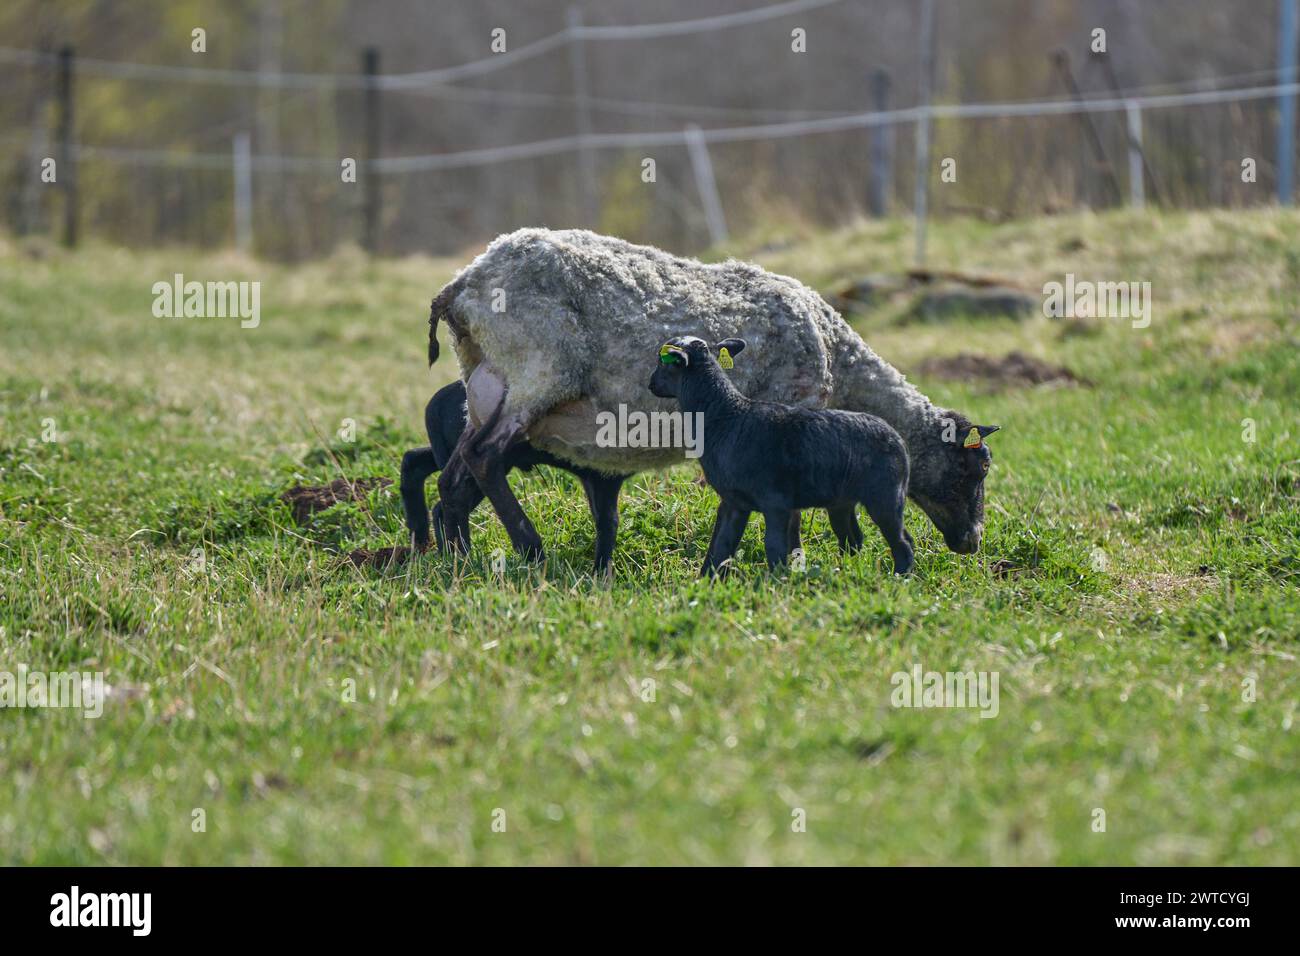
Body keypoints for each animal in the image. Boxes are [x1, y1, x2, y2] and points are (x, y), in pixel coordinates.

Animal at [399, 380, 628, 573]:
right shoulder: (602, 478)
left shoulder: (601, 480)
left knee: (416, 465)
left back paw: (433, 546)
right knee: (448, 495)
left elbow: (608, 521)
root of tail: (435, 405)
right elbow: (608, 522)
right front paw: (601, 574)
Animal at [648, 335, 915, 575]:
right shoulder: (734, 502)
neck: (724, 415)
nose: (650, 384)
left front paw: (777, 581)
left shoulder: (776, 501)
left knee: (902, 543)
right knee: (854, 538)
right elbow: (722, 546)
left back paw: (900, 577)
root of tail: (899, 440)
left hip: (884, 496)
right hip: (842, 501)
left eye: (663, 363)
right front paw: (707, 580)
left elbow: (774, 546)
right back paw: (845, 571)